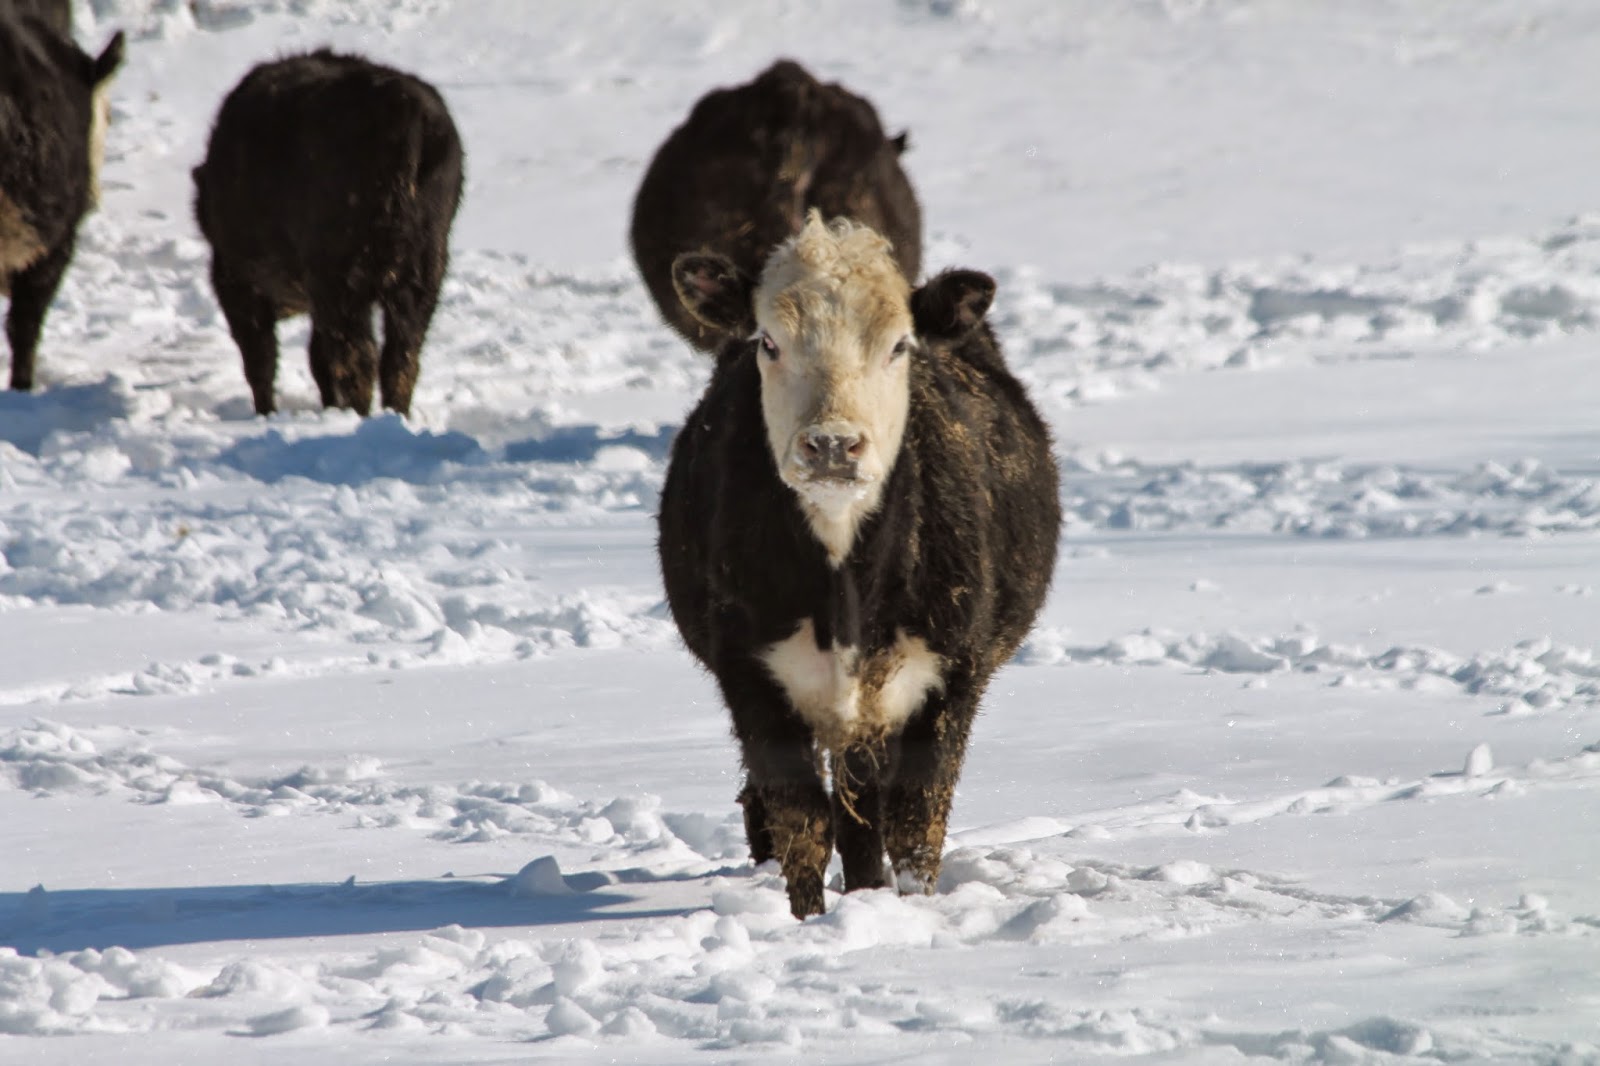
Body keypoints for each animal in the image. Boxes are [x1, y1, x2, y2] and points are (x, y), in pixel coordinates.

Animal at [193, 50, 464, 418]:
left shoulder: (238, 284)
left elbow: (262, 360)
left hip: (342, 284)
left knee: (357, 358)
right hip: (421, 278)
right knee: (400, 358)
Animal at [657, 212, 1061, 919]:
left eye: (900, 346)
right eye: (768, 341)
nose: (831, 444)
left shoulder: (953, 672)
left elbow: (915, 822)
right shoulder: (750, 673)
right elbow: (802, 822)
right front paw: (810, 923)